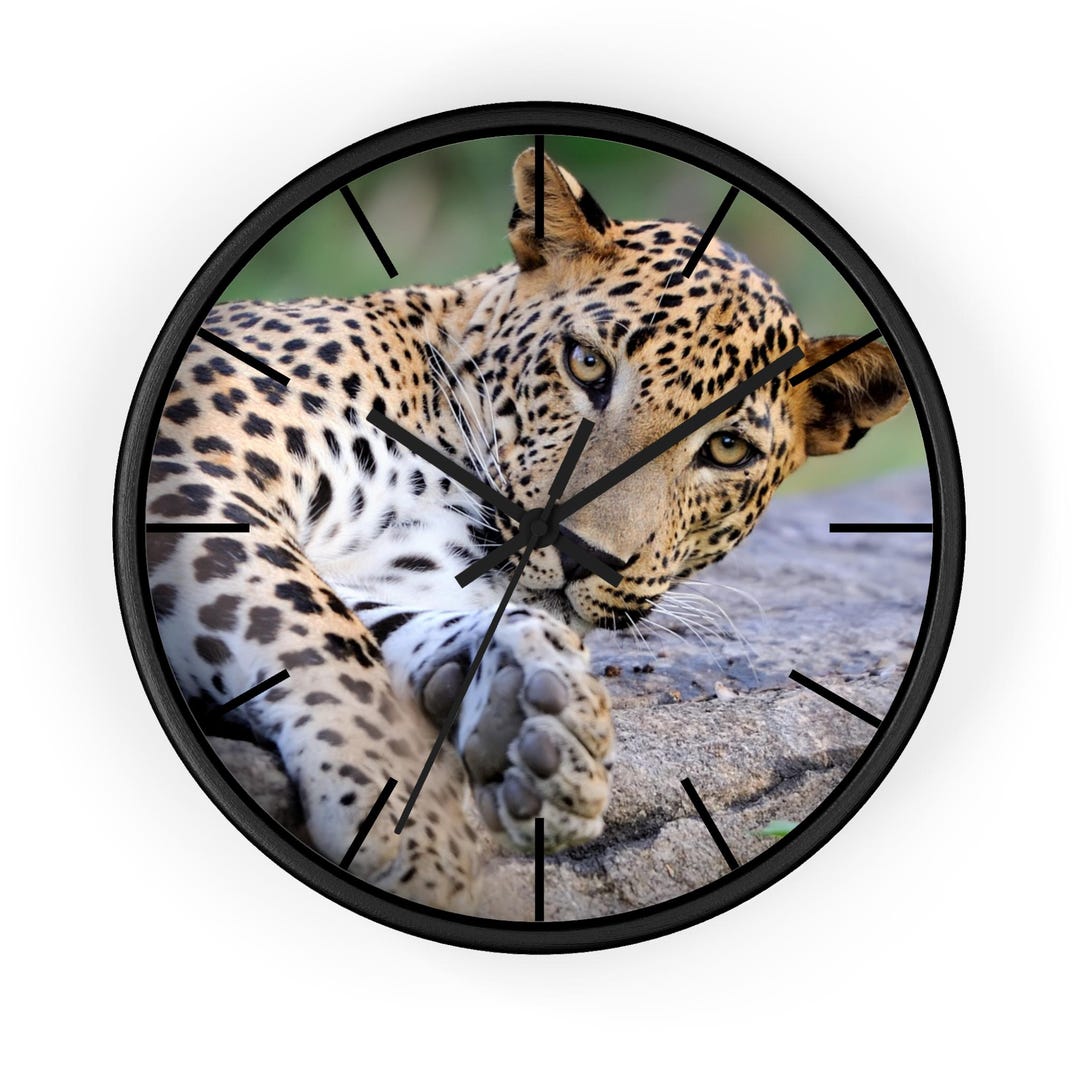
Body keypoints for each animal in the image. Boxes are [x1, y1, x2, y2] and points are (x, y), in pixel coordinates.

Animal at [146, 149, 909, 914]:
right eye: (587, 364)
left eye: (727, 449)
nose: (582, 553)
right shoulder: (203, 474)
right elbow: (316, 626)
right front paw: (416, 831)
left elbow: (373, 620)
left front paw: (528, 709)